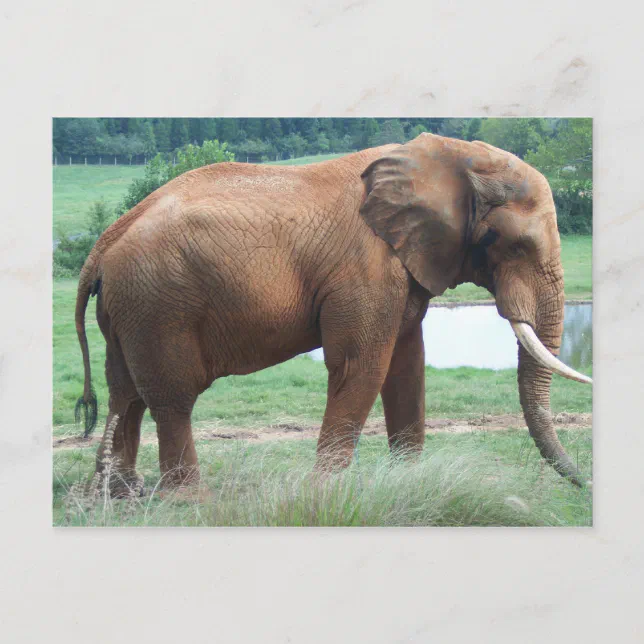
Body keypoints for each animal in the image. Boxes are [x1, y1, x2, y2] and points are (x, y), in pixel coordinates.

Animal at [74, 133, 591, 491]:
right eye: (512, 245)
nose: (583, 484)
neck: (450, 156)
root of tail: (103, 243)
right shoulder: (366, 268)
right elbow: (360, 366)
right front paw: (327, 493)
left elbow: (407, 365)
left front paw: (409, 483)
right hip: (159, 303)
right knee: (172, 398)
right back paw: (186, 499)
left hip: (131, 308)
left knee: (125, 394)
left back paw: (121, 494)